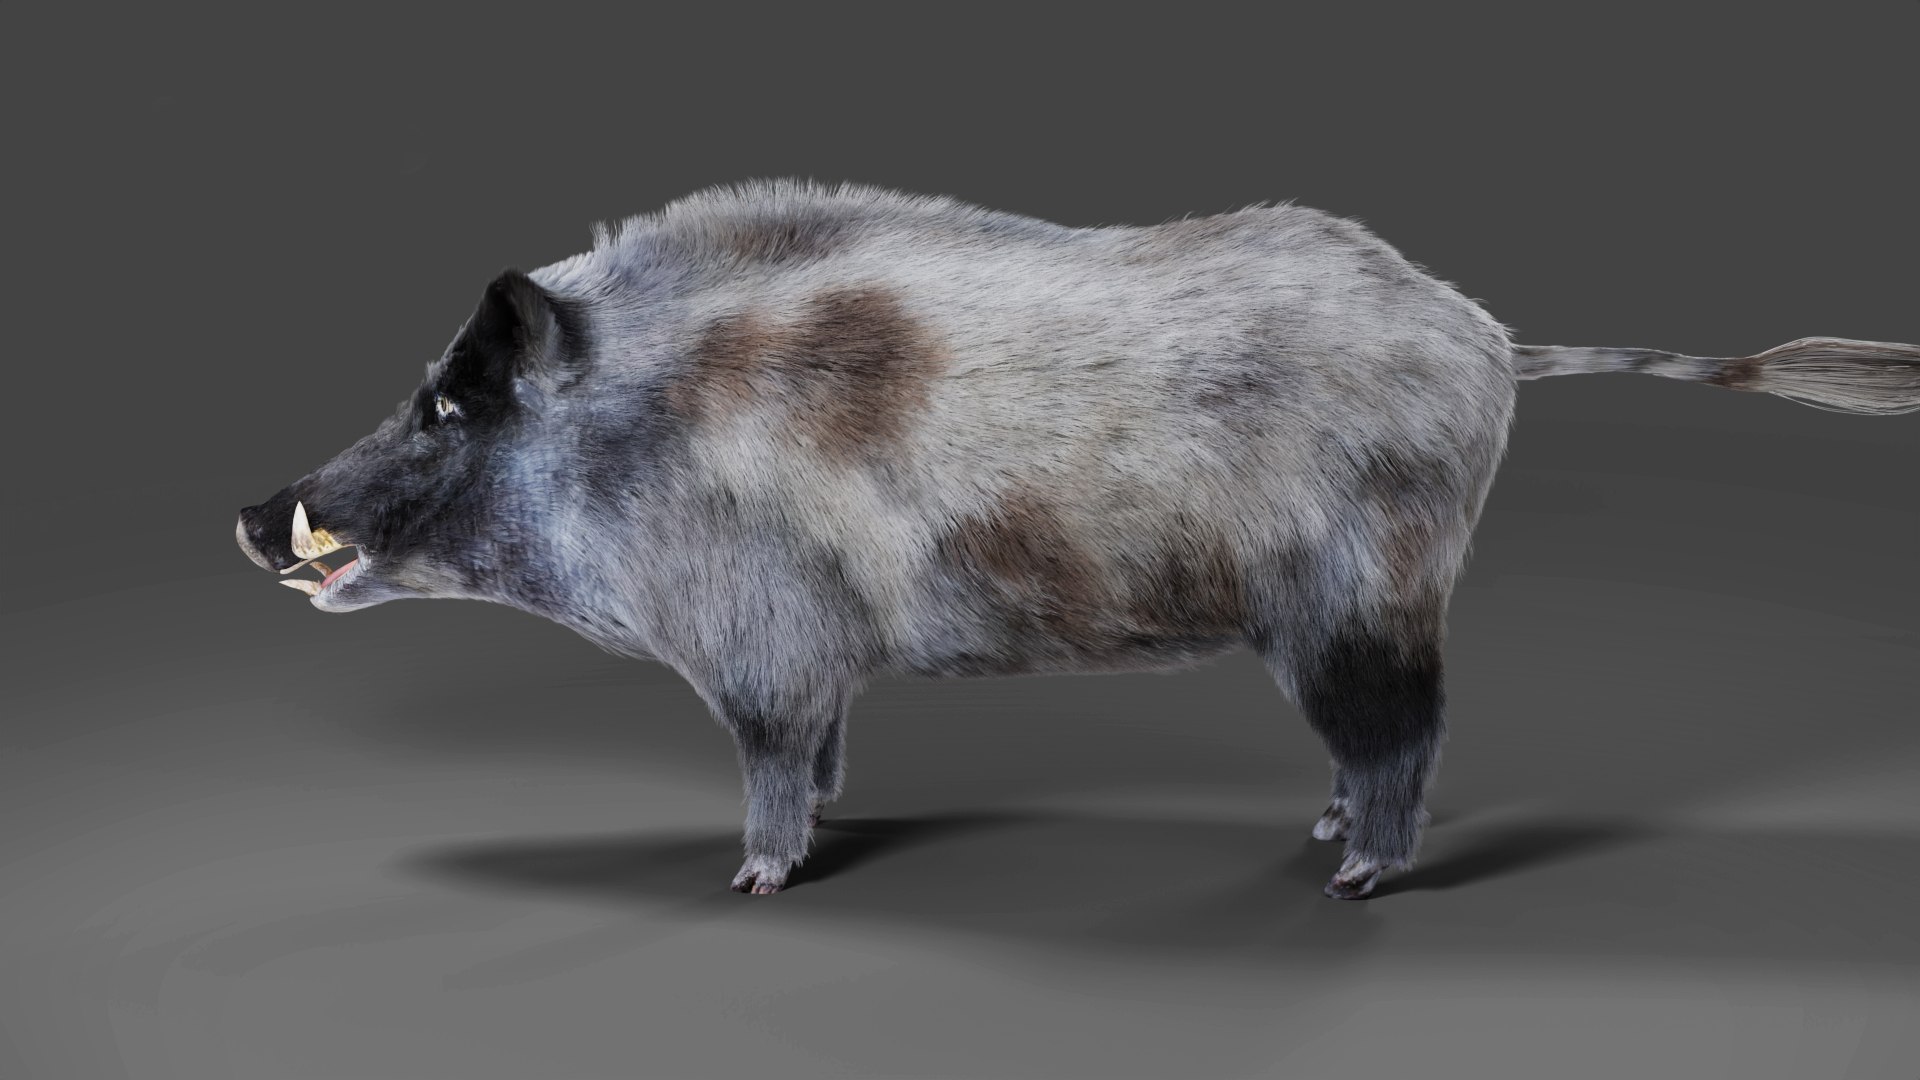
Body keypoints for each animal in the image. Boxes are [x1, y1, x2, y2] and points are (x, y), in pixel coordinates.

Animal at [236, 180, 1920, 899]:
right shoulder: (818, 657)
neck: (646, 427)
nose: (252, 512)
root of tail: (1489, 338)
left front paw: (756, 881)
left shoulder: (760, 641)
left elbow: (772, 761)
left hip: (1361, 597)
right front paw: (823, 829)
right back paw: (1321, 836)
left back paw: (1355, 879)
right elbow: (825, 753)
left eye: (448, 404)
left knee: (1410, 733)